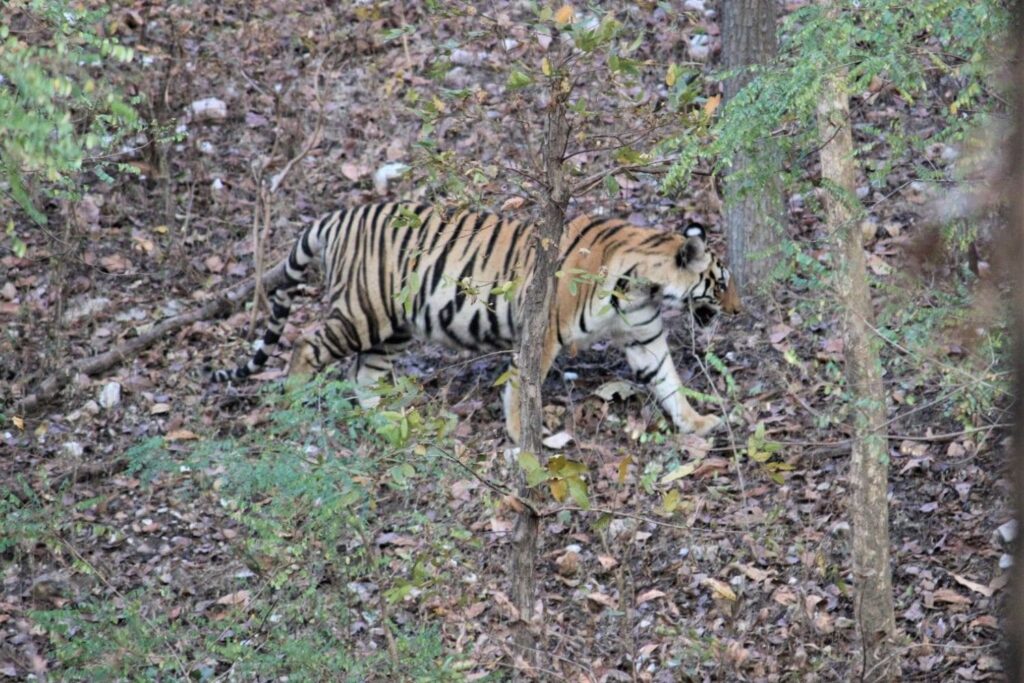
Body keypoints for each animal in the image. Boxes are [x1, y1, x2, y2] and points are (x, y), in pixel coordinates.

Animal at [212, 202, 740, 443]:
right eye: (720, 282)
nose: (738, 311)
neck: (642, 285)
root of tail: (339, 215)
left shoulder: (643, 334)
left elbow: (668, 380)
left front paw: (697, 423)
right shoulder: (541, 334)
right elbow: (523, 389)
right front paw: (526, 439)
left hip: (394, 327)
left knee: (364, 374)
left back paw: (388, 423)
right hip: (363, 312)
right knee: (305, 345)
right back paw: (295, 404)